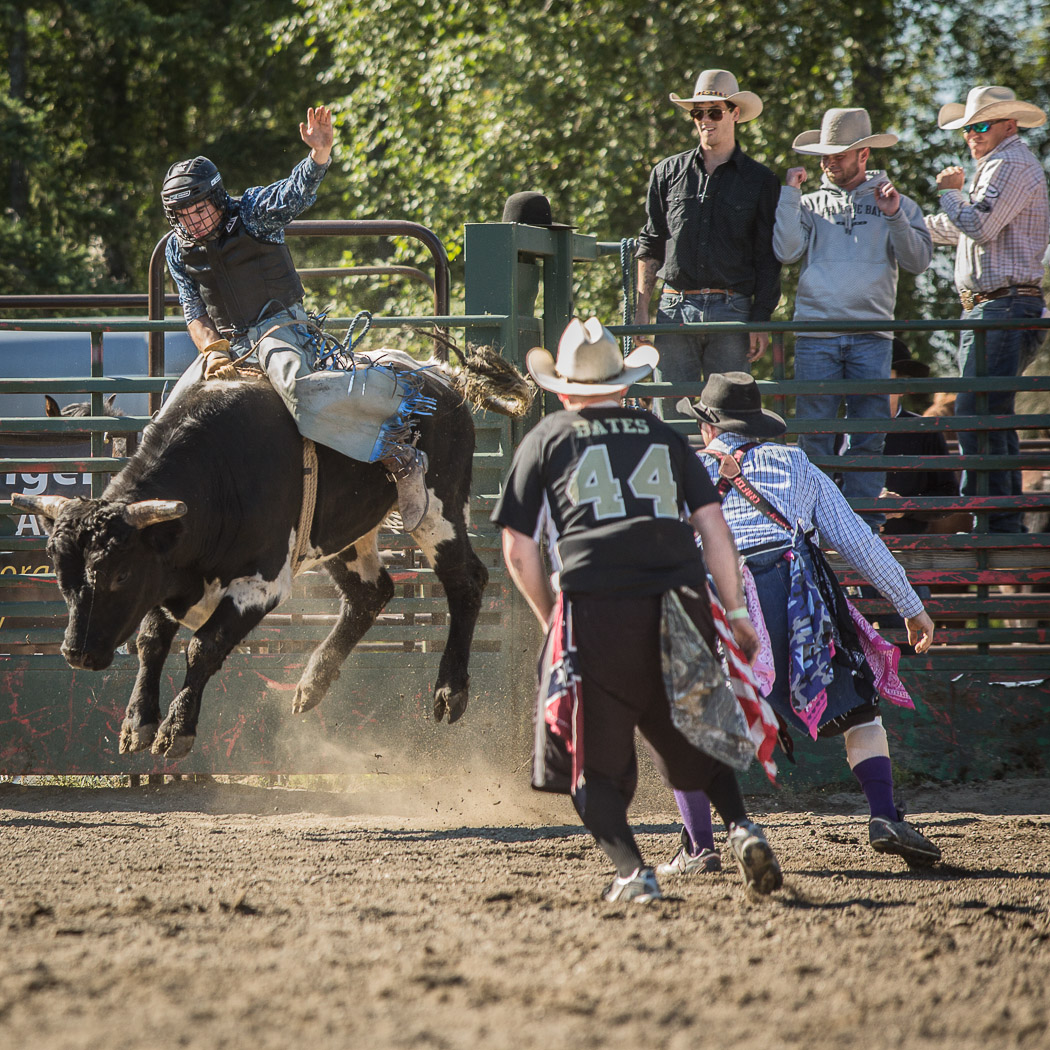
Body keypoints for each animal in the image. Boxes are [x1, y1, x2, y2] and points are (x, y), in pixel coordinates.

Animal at [13, 346, 532, 761]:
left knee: (466, 581)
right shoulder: (169, 575)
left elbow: (203, 646)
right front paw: (137, 723)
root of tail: (439, 376)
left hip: (436, 509)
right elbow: (151, 641)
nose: (77, 653)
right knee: (370, 593)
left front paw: (177, 730)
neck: (218, 472)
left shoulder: (260, 583)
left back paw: (450, 691)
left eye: (120, 575)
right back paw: (312, 683)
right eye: (60, 575)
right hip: (343, 533)